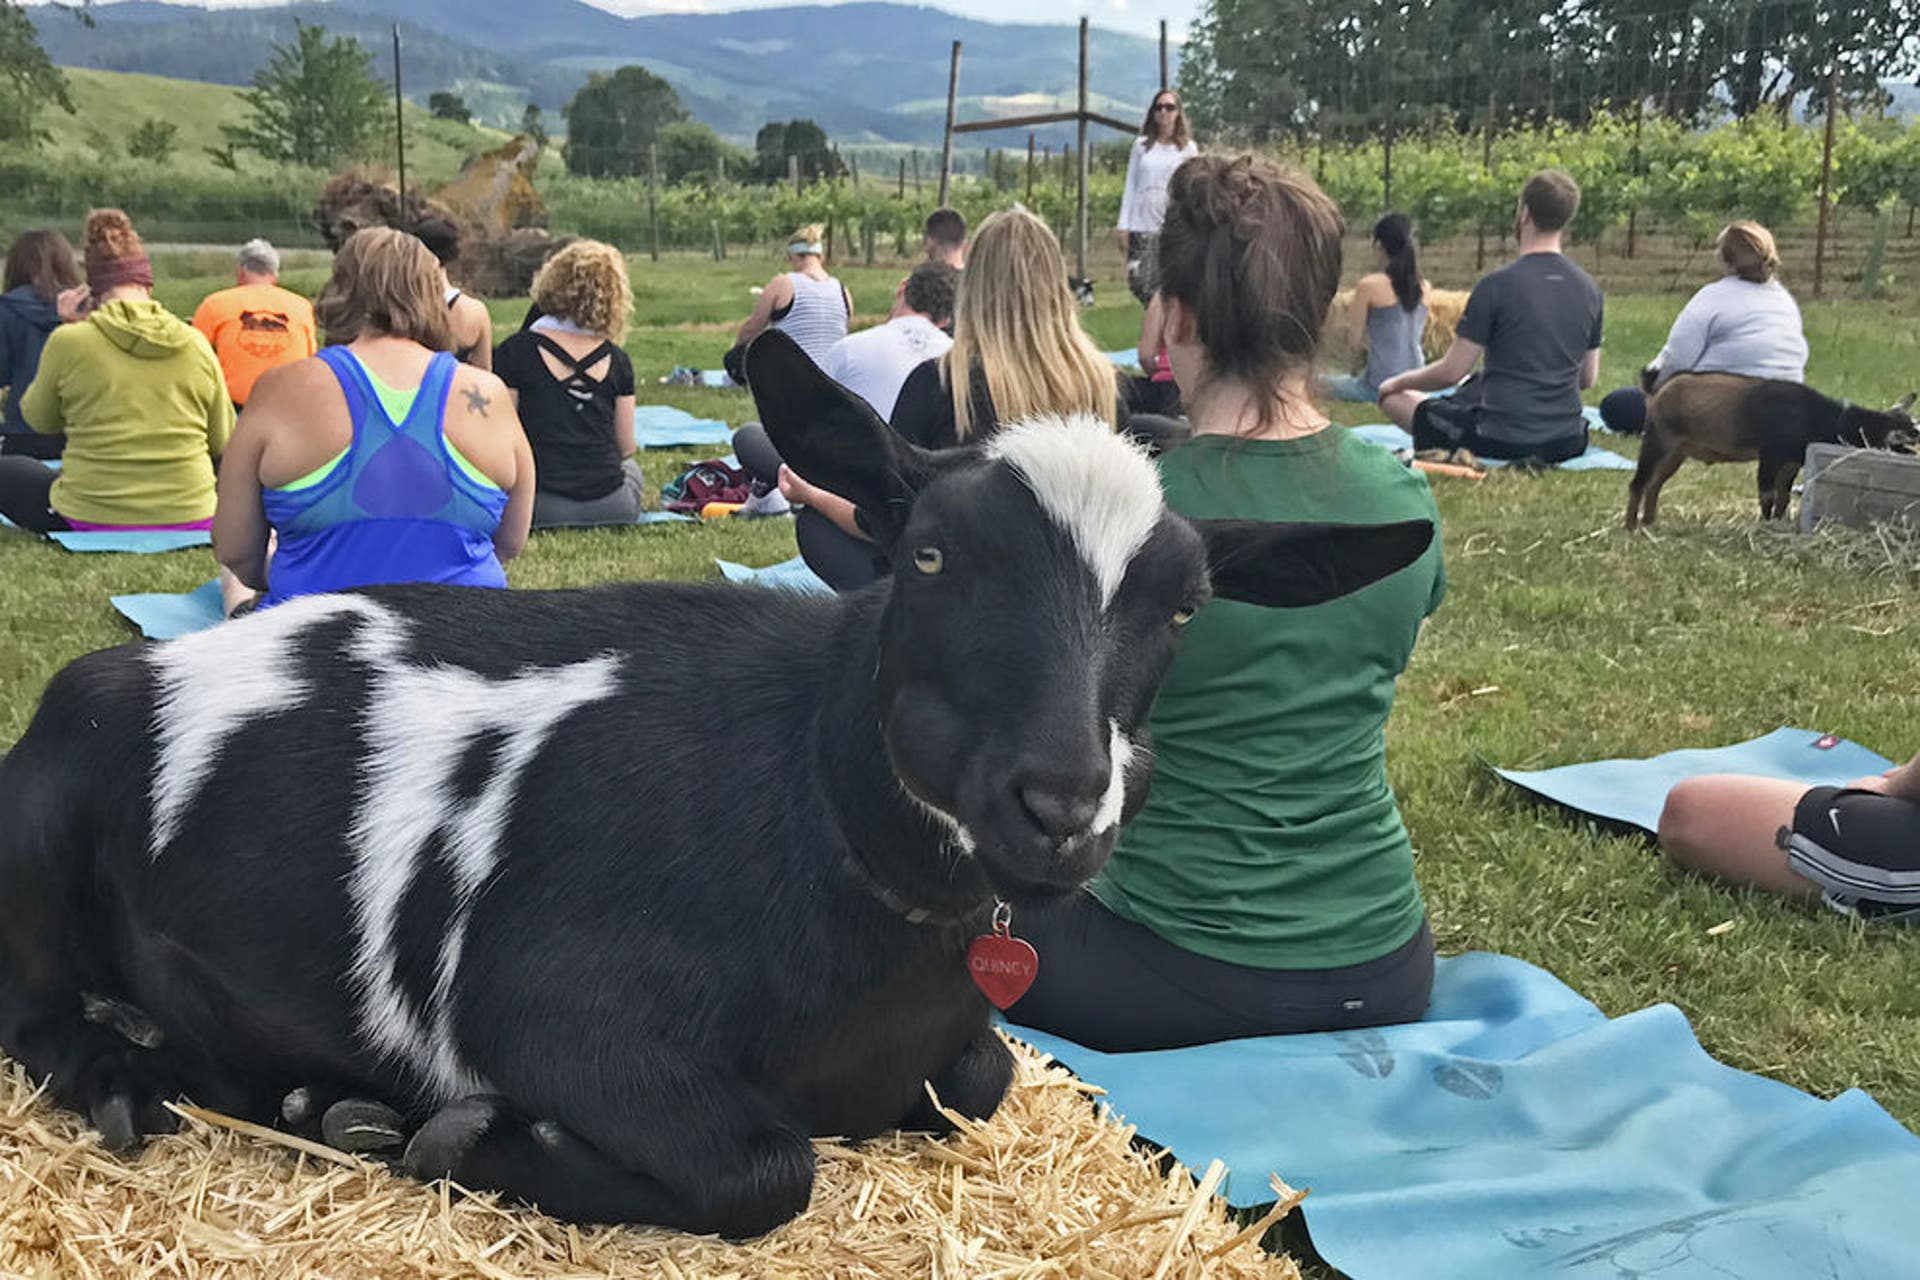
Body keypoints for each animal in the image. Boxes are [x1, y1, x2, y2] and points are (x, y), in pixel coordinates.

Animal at [0, 330, 1432, 1235]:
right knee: (35, 1006)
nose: (1062, 804)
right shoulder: (548, 1005)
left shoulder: (947, 1047)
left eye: (1187, 602)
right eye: (927, 553)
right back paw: (136, 1076)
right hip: (45, 793)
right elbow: (765, 1169)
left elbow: (978, 1079)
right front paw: (469, 1140)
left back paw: (299, 1094)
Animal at [1625, 373, 1917, 530]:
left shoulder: (1791, 463)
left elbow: (1783, 497)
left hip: (1677, 452)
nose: (1915, 451)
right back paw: (1630, 526)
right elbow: (1766, 494)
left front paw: (1780, 522)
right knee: (1638, 482)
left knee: (1655, 483)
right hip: (1657, 441)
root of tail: (1657, 392)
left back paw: (1649, 521)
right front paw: (1765, 524)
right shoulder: (1771, 455)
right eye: (1899, 440)